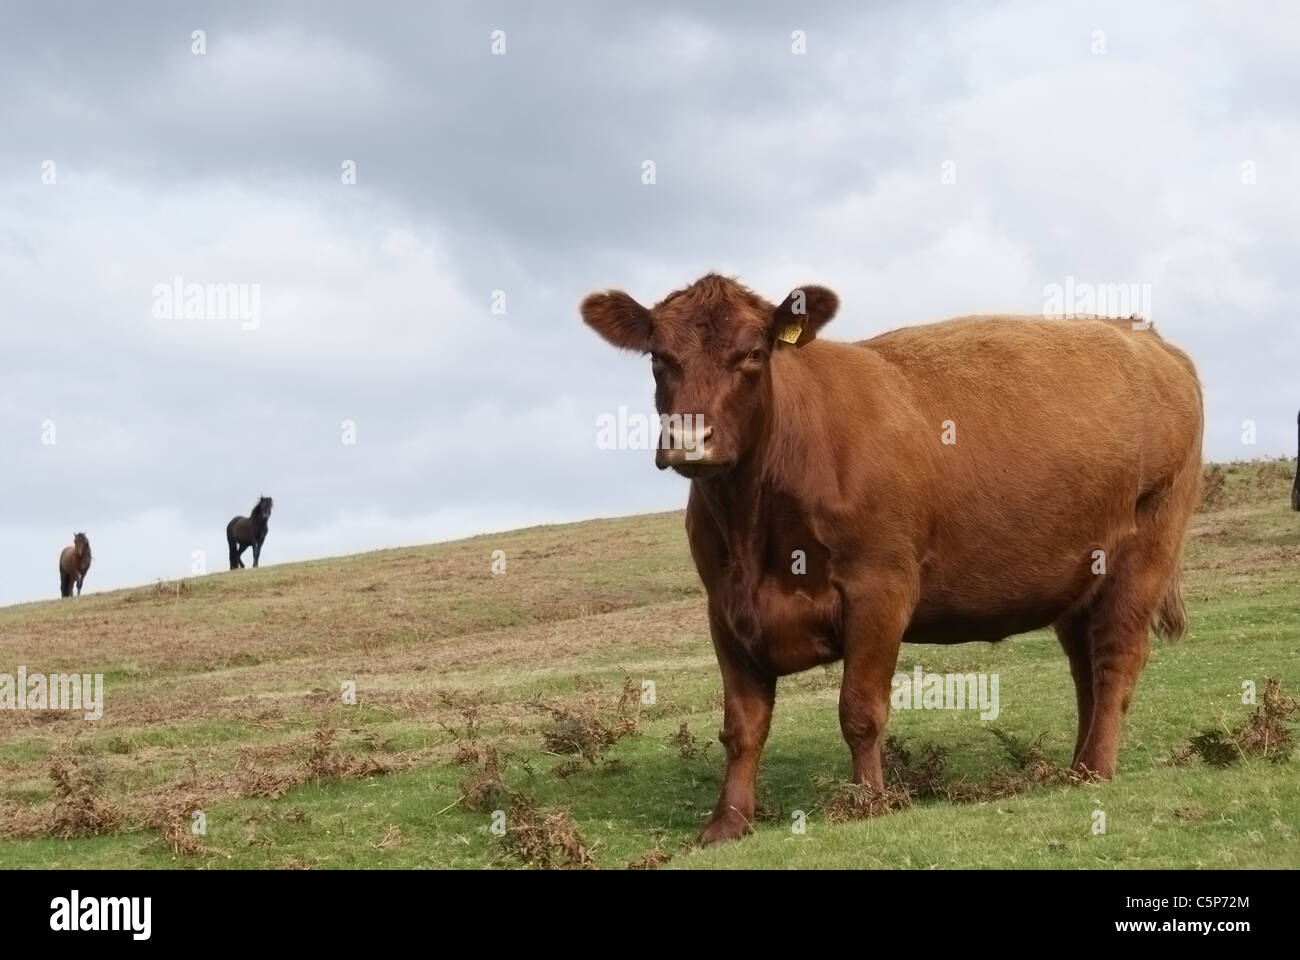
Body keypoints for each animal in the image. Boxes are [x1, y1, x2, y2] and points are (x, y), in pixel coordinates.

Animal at [581, 273, 1203, 845]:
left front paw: (866, 802)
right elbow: (743, 727)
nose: (690, 441)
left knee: (1116, 659)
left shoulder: (879, 590)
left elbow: (860, 709)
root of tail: (1145, 337)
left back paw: (1095, 770)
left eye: (753, 353)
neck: (755, 524)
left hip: (1143, 554)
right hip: (1077, 579)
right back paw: (1072, 767)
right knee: (1085, 670)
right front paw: (727, 824)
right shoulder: (725, 609)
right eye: (659, 357)